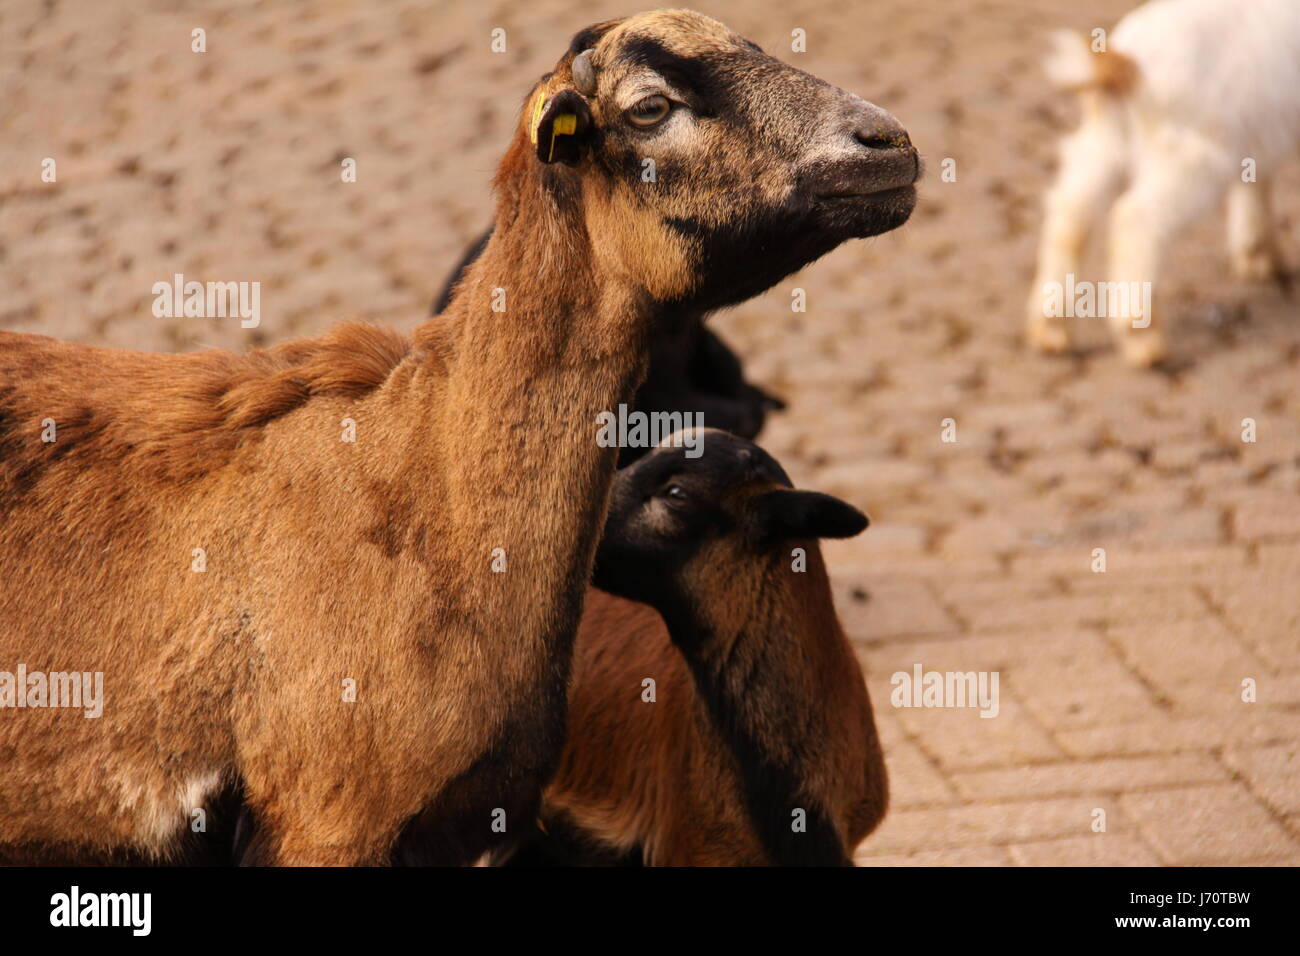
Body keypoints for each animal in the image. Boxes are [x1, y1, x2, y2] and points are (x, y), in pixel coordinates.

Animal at [1025, 0, 1300, 367]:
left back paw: (1051, 327)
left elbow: (1256, 186)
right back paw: (1141, 337)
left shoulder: (1259, 134)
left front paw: (1257, 257)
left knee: (1071, 215)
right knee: (1136, 219)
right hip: (1192, 157)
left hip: (1103, 144)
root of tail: (1128, 59)